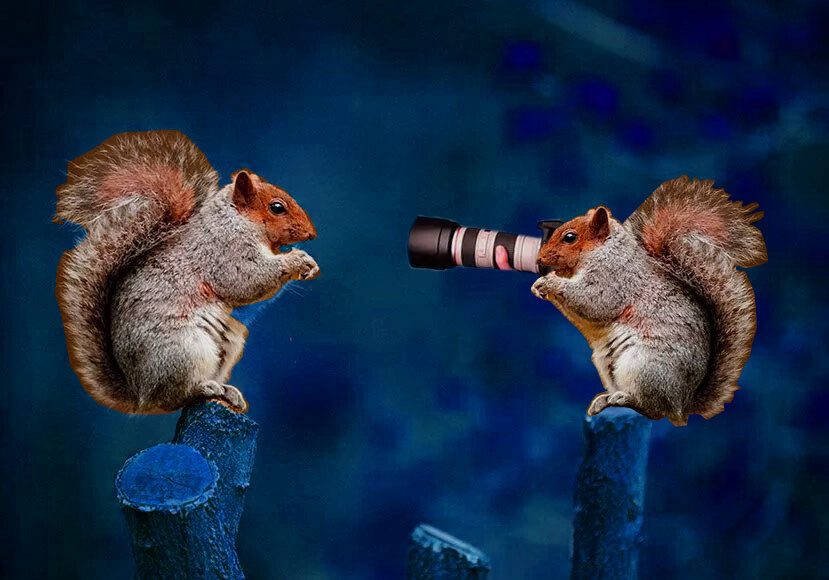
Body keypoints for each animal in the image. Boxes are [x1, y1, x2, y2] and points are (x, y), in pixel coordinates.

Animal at [54, 130, 320, 414]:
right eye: (277, 207)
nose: (312, 234)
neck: (235, 219)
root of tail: (139, 392)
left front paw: (309, 263)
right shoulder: (224, 252)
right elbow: (247, 280)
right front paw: (296, 260)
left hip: (228, 344)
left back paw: (228, 391)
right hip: (184, 350)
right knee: (174, 396)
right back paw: (205, 388)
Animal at [531, 176, 767, 426]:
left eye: (570, 237)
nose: (539, 259)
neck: (605, 250)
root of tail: (683, 404)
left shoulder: (614, 279)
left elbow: (592, 301)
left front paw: (550, 282)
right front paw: (538, 285)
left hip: (644, 367)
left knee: (653, 408)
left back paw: (624, 398)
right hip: (608, 364)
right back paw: (604, 400)